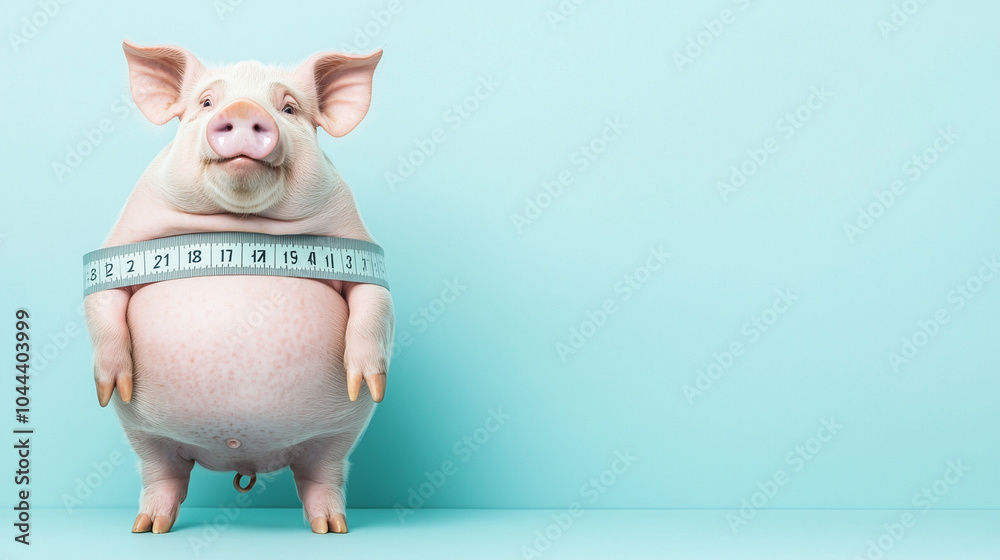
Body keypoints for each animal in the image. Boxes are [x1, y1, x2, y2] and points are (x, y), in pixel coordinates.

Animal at [83, 40, 394, 534]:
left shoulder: (361, 251)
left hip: (335, 440)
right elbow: (103, 299)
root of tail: (242, 461)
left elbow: (375, 300)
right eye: (207, 102)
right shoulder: (120, 246)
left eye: (288, 108)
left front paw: (365, 381)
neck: (241, 225)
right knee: (163, 473)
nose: (245, 110)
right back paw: (149, 526)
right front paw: (112, 385)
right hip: (146, 437)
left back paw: (330, 527)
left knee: (322, 475)